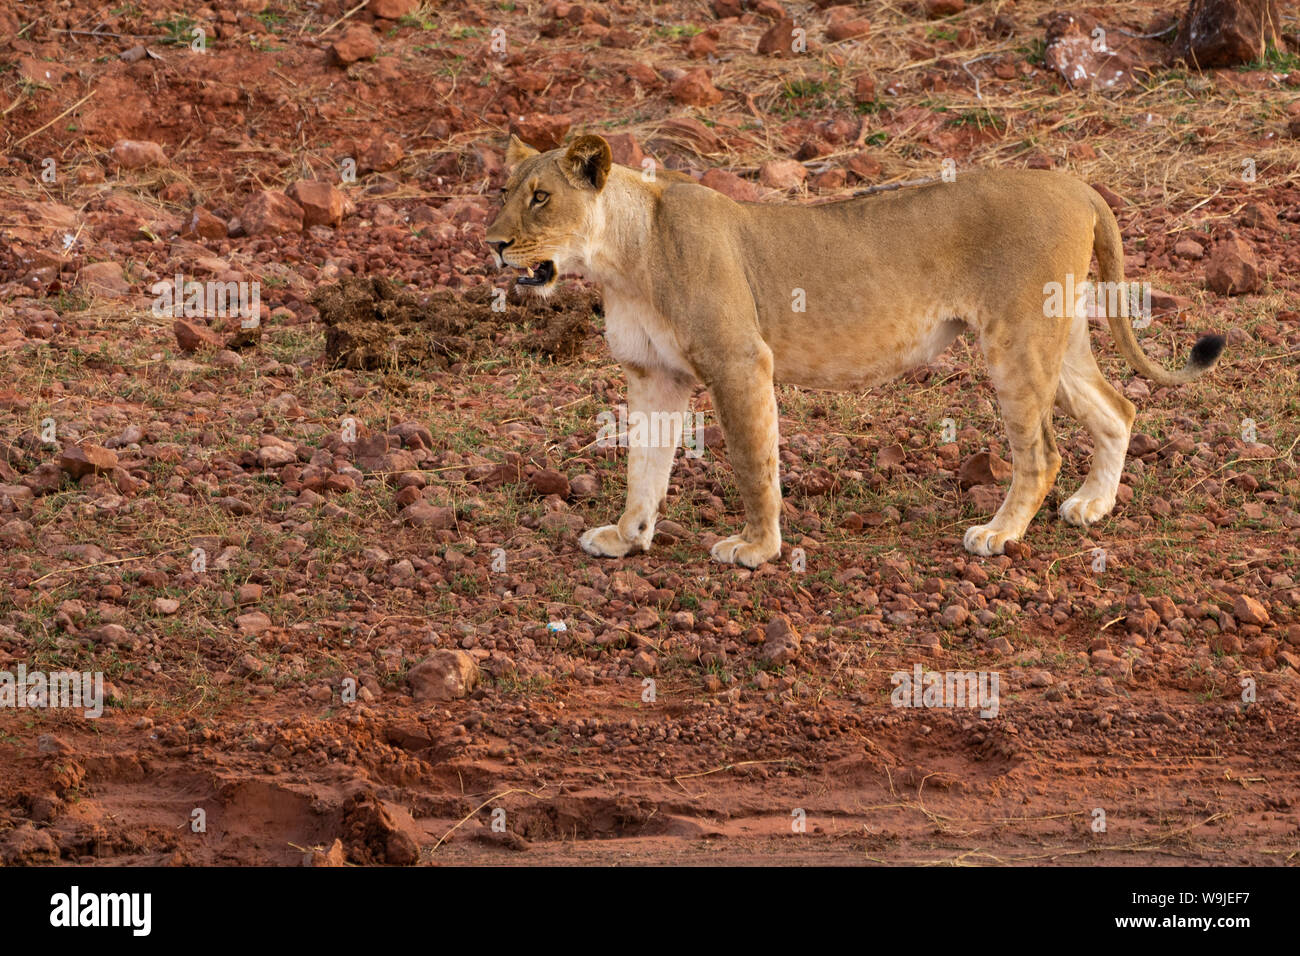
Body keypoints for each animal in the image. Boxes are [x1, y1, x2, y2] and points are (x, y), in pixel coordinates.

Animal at [484, 133, 1224, 568]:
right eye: (504, 193)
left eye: (541, 197)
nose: (492, 243)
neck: (622, 257)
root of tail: (1074, 184)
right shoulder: (653, 375)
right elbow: (645, 466)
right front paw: (628, 536)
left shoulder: (739, 361)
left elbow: (753, 464)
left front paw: (756, 548)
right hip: (1055, 335)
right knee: (1117, 409)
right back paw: (1093, 506)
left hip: (1015, 342)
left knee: (1041, 451)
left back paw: (999, 534)